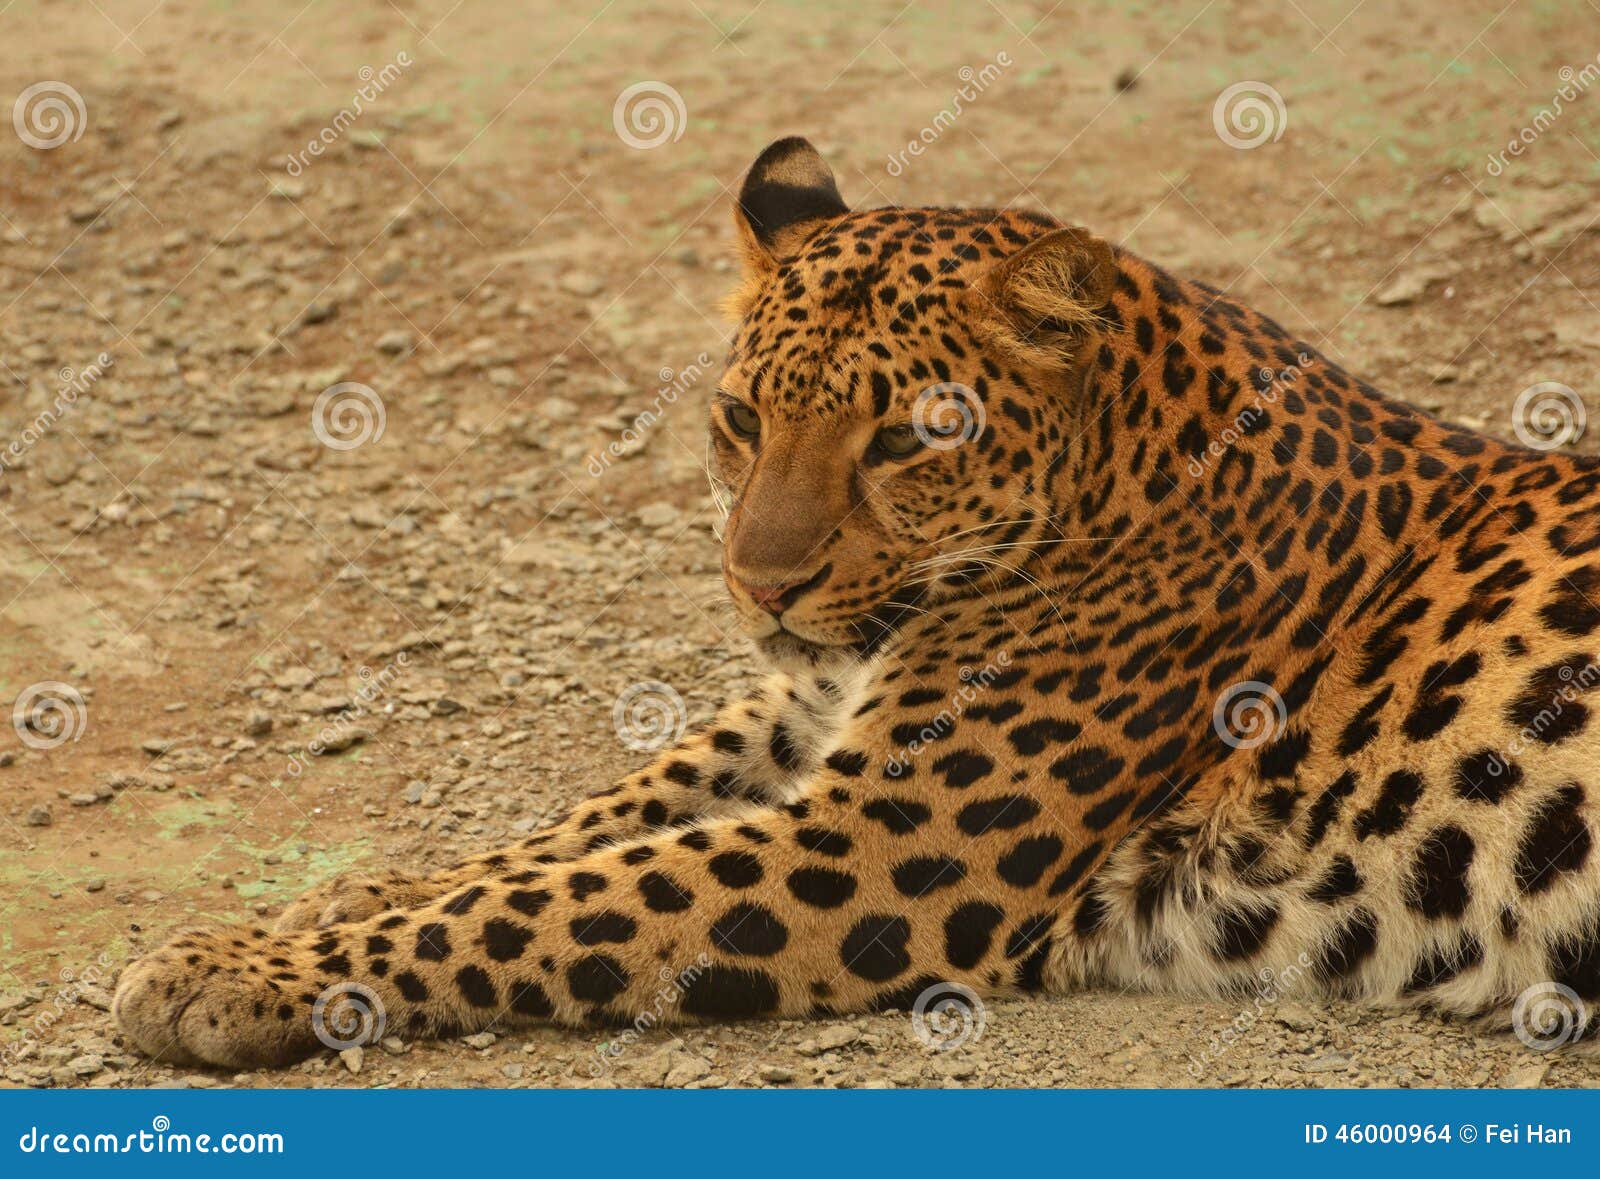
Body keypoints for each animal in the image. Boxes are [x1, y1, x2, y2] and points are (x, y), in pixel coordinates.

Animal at [115, 137, 1600, 1069]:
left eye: (903, 440)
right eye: (737, 418)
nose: (758, 580)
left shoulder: (881, 839)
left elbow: (559, 901)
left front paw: (226, 971)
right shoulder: (805, 703)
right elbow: (581, 827)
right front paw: (342, 895)